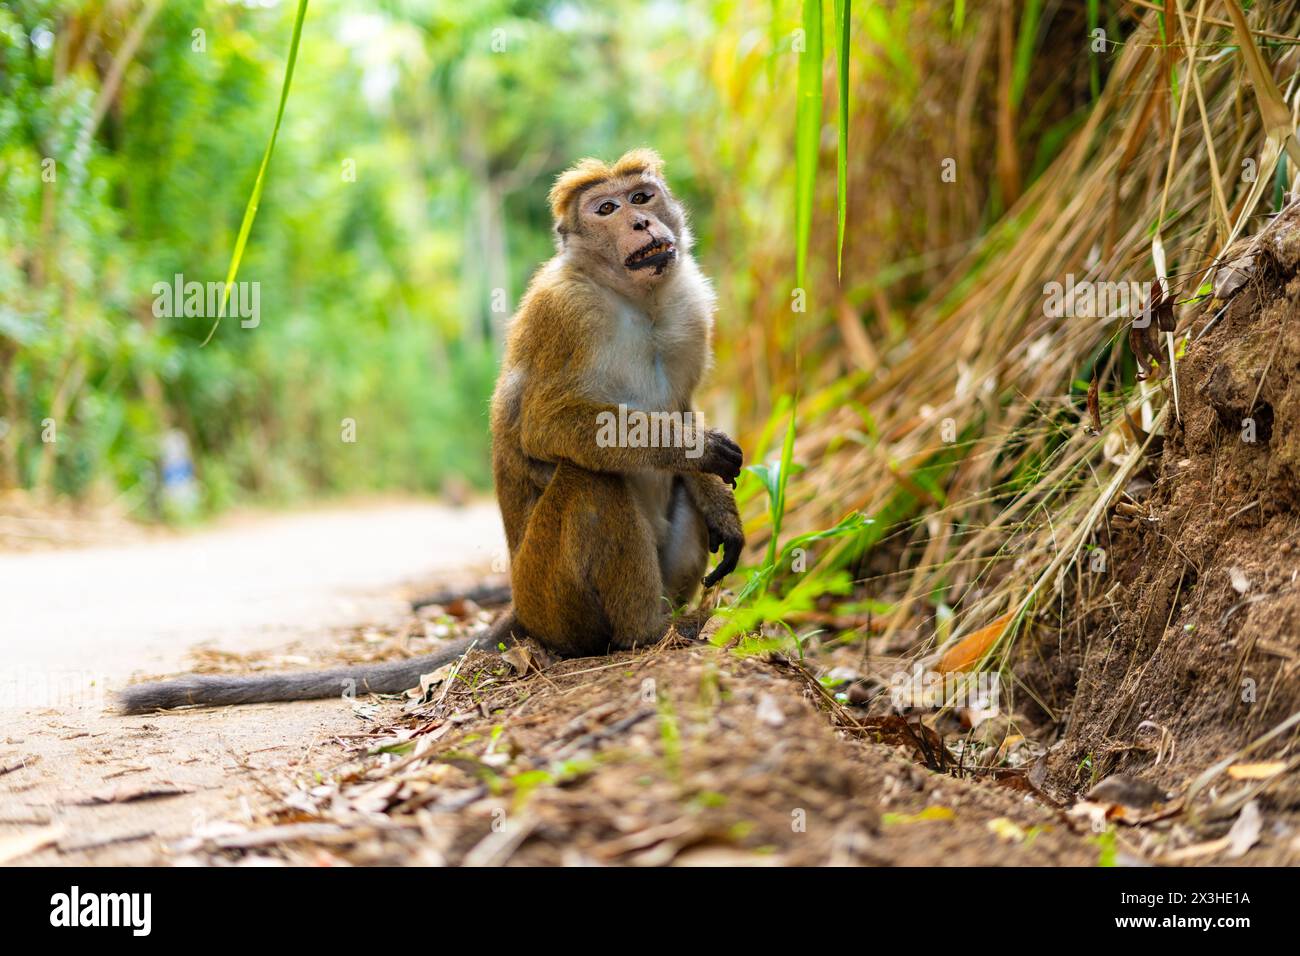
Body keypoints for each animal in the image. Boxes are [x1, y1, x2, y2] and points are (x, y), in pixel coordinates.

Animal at [118, 148, 744, 715]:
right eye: (607, 208)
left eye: (642, 197)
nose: (640, 223)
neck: (636, 301)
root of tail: (518, 605)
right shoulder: (566, 314)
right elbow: (548, 427)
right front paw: (696, 449)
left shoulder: (691, 308)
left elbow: (682, 406)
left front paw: (721, 504)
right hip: (552, 600)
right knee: (591, 482)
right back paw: (649, 634)